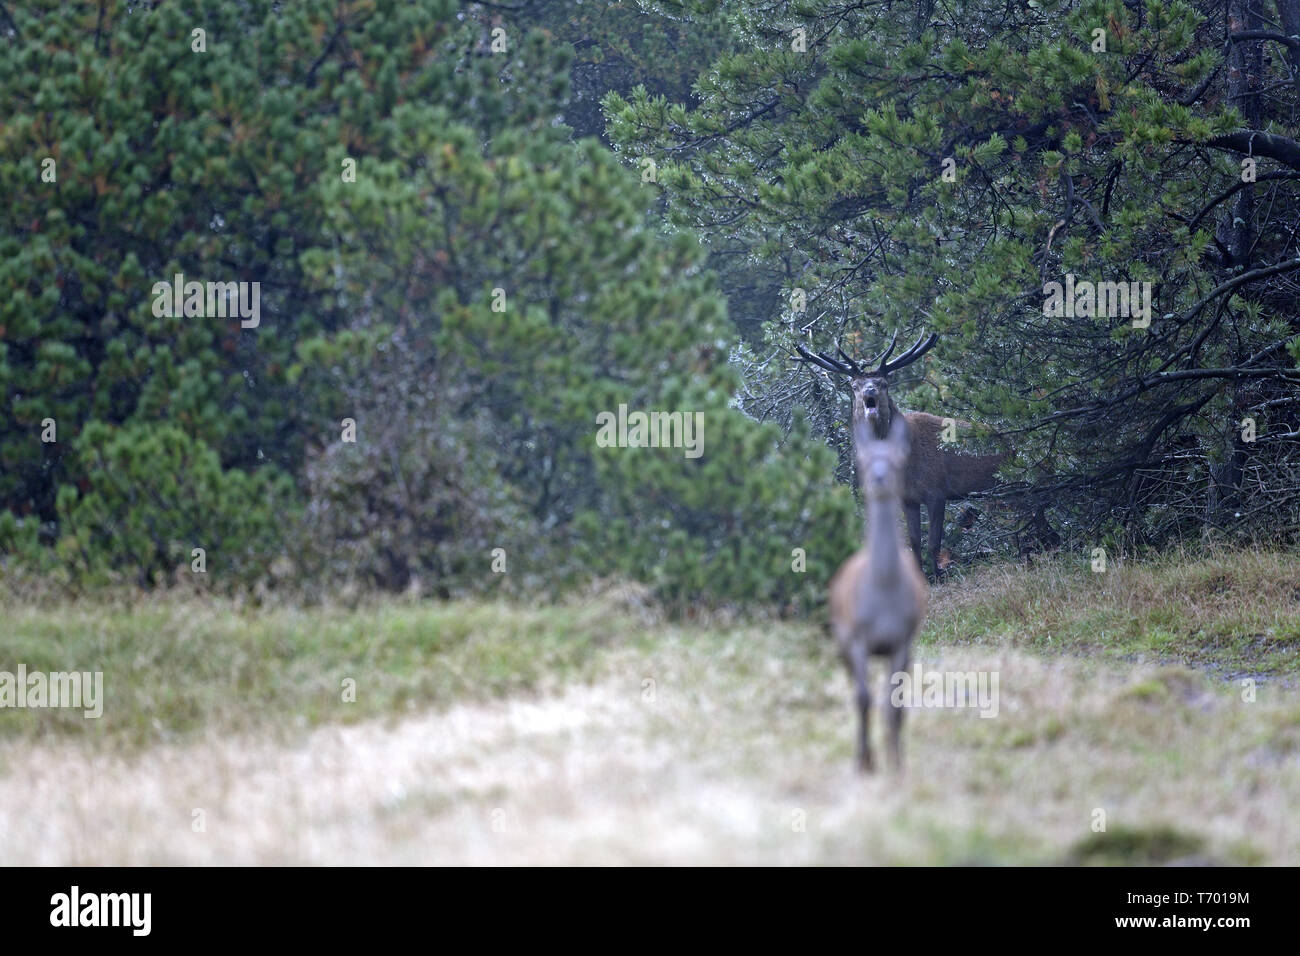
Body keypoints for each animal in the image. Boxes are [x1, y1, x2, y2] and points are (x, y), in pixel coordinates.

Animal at [796, 330, 1009, 580]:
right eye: (854, 385)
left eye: (884, 383)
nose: (870, 390)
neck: (906, 464)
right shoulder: (907, 498)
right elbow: (914, 542)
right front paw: (921, 576)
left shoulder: (937, 492)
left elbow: (934, 543)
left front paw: (937, 576)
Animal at [829, 412, 927, 773]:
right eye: (863, 461)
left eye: (899, 461)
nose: (880, 477)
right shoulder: (856, 637)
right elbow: (862, 699)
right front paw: (864, 761)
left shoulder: (902, 640)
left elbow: (894, 706)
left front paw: (896, 764)